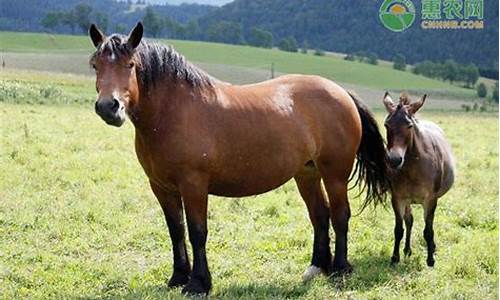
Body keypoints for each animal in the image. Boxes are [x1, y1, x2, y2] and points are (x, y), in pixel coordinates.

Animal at [88, 22, 388, 294]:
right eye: (95, 65)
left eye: (130, 65)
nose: (108, 107)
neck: (173, 112)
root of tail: (341, 92)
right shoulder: (161, 187)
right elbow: (176, 230)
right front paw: (178, 278)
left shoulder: (193, 185)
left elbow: (197, 232)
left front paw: (198, 284)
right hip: (307, 173)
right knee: (320, 214)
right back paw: (316, 268)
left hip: (334, 173)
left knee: (340, 214)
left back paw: (340, 270)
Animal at [382, 92, 454, 266]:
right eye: (387, 125)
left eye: (409, 126)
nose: (394, 160)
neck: (412, 169)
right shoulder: (398, 198)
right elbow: (398, 229)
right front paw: (395, 258)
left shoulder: (431, 200)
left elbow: (428, 230)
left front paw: (430, 260)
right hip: (408, 200)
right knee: (409, 221)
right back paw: (407, 250)